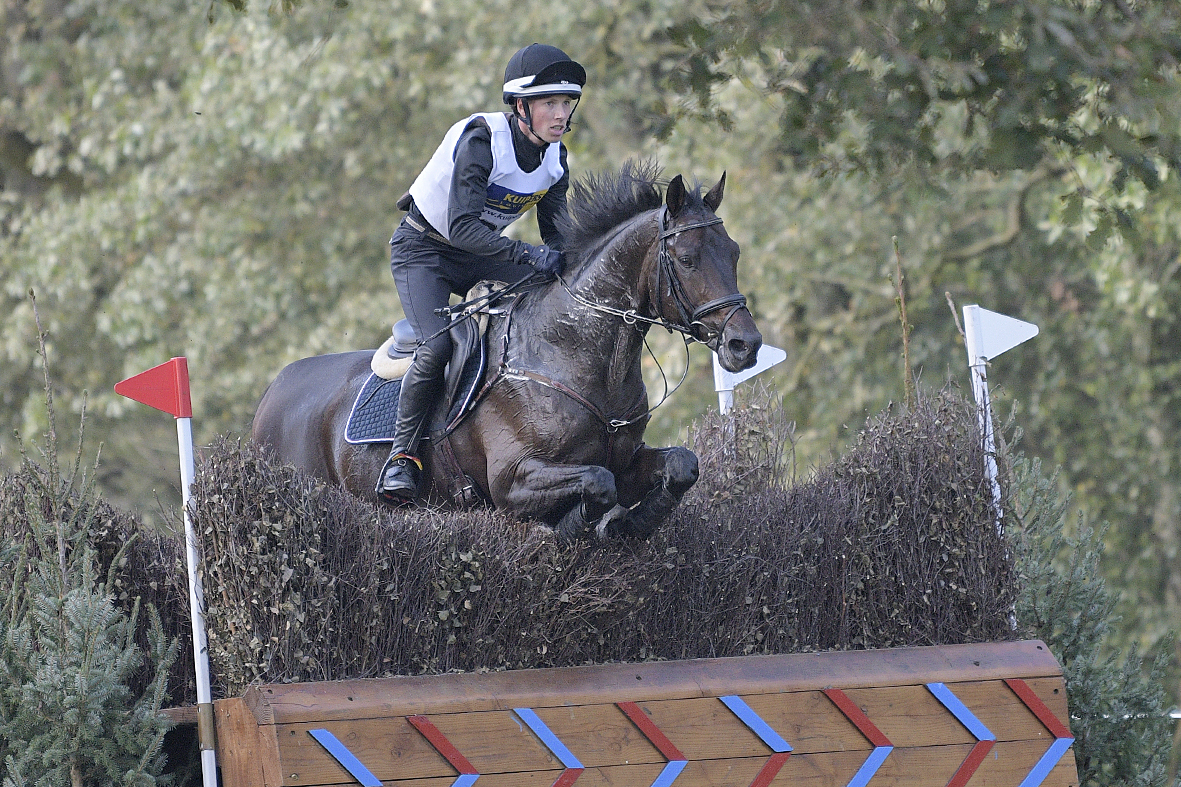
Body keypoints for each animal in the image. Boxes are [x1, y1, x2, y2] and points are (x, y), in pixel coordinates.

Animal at [252, 162, 763, 539]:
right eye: (687, 259)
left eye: (735, 252)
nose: (745, 345)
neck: (572, 352)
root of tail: (275, 390)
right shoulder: (512, 480)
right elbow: (598, 483)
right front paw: (577, 526)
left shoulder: (626, 459)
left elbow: (680, 465)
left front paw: (631, 523)